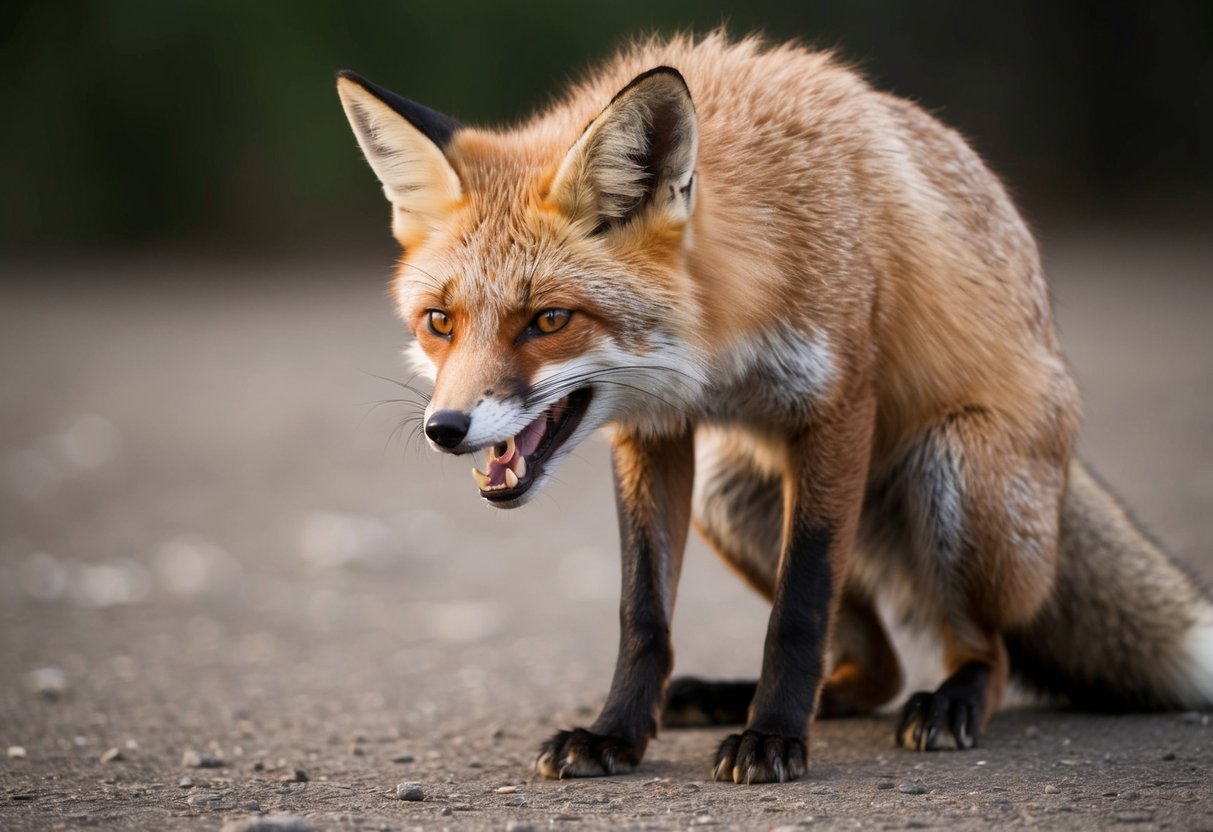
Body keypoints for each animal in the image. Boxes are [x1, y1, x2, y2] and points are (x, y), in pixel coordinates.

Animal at [336, 32, 1213, 783]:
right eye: (439, 323)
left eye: (548, 320)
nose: (445, 430)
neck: (721, 339)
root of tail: (1063, 468)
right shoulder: (655, 428)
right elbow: (642, 615)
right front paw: (617, 733)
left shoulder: (837, 408)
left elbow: (799, 606)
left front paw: (772, 740)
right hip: (732, 494)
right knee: (872, 664)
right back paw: (749, 697)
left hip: (955, 474)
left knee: (980, 652)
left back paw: (940, 701)